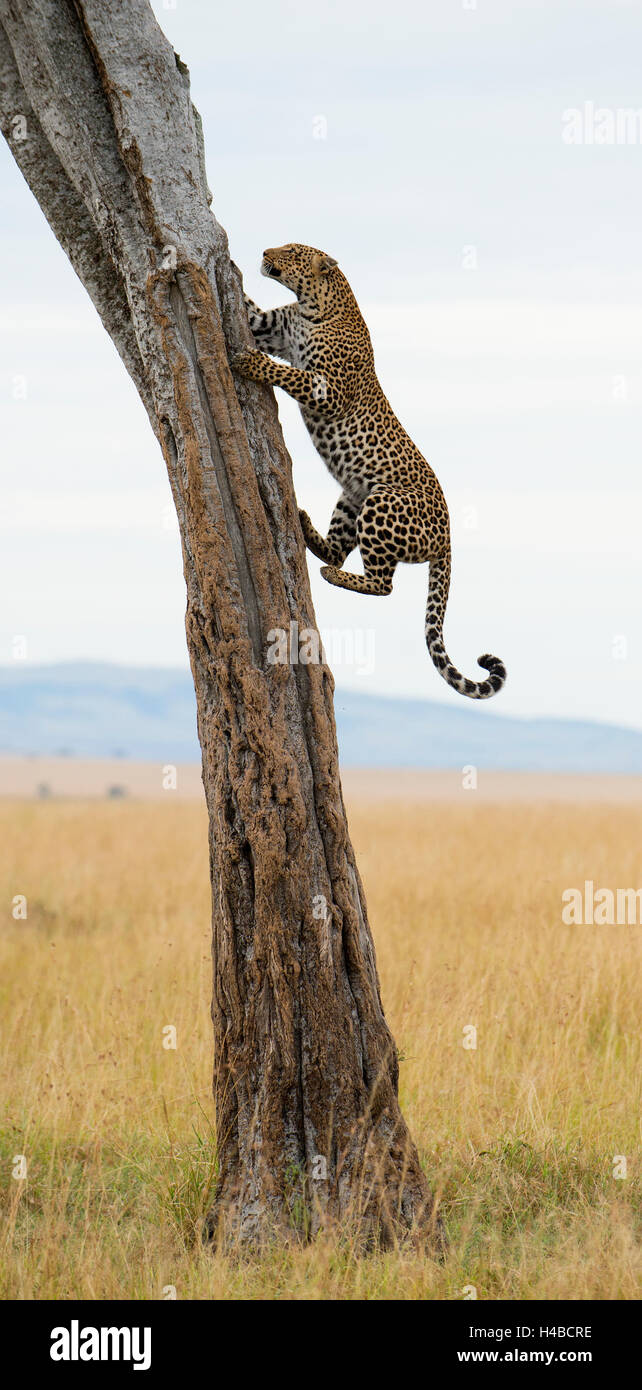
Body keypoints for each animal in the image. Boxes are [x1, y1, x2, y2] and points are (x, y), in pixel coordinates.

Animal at [231, 242, 506, 700]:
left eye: (292, 251)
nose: (266, 251)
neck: (313, 305)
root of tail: (449, 535)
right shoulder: (268, 327)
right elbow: (251, 313)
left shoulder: (328, 389)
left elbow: (289, 373)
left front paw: (251, 363)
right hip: (352, 498)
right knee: (340, 549)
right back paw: (305, 526)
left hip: (381, 501)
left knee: (383, 585)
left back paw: (332, 574)